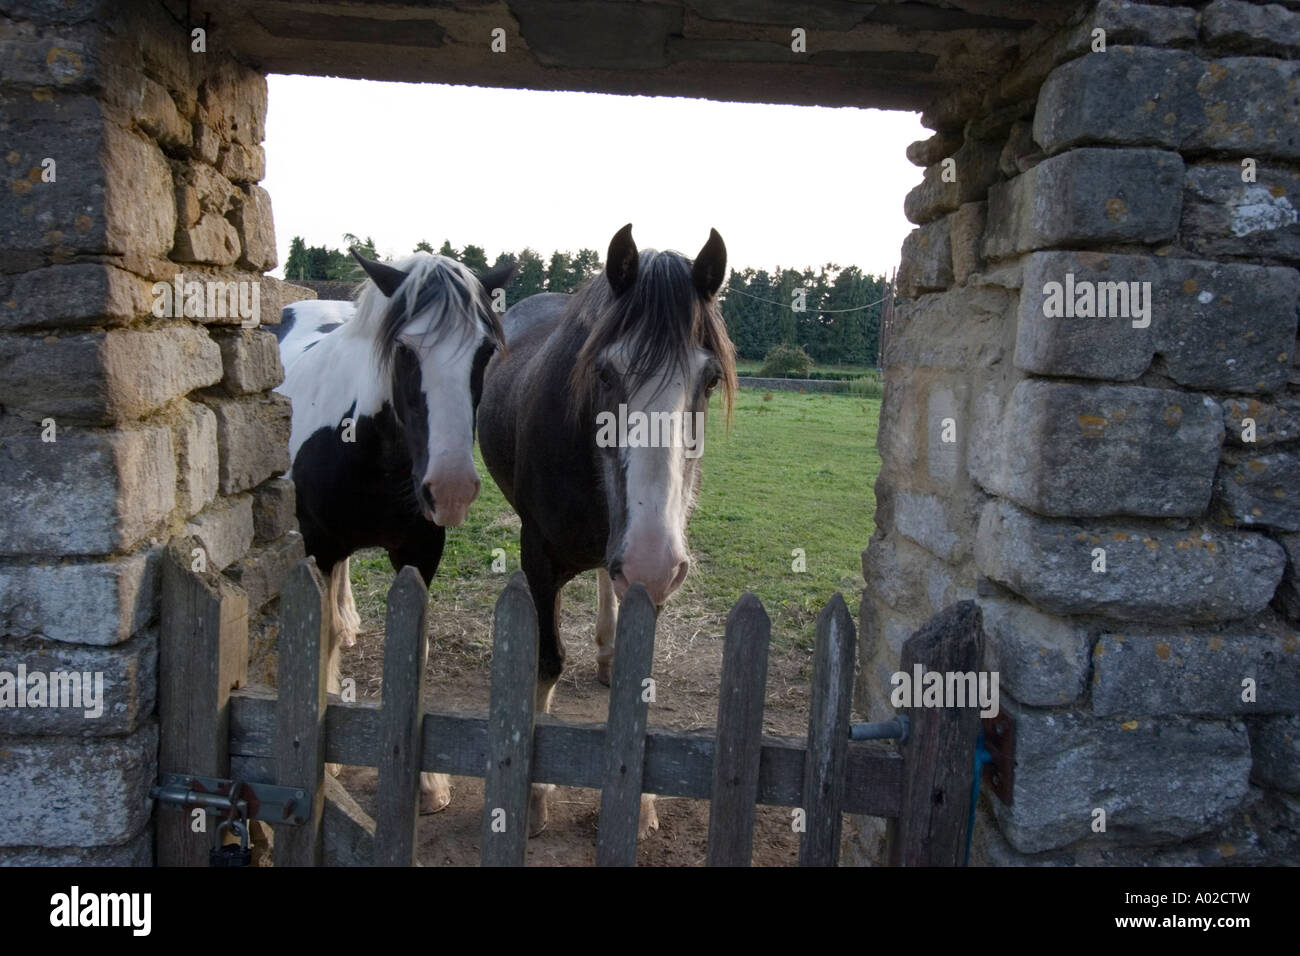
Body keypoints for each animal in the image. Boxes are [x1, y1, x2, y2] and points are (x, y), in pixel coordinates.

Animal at [275, 249, 514, 812]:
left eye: (484, 351)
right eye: (404, 349)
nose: (451, 488)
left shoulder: (420, 550)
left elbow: (413, 646)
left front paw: (427, 781)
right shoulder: (319, 544)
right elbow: (321, 633)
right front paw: (329, 757)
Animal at [477, 224, 736, 837]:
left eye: (710, 379)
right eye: (604, 372)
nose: (649, 557)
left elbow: (638, 669)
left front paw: (640, 803)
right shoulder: (538, 559)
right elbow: (547, 662)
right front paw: (535, 793)